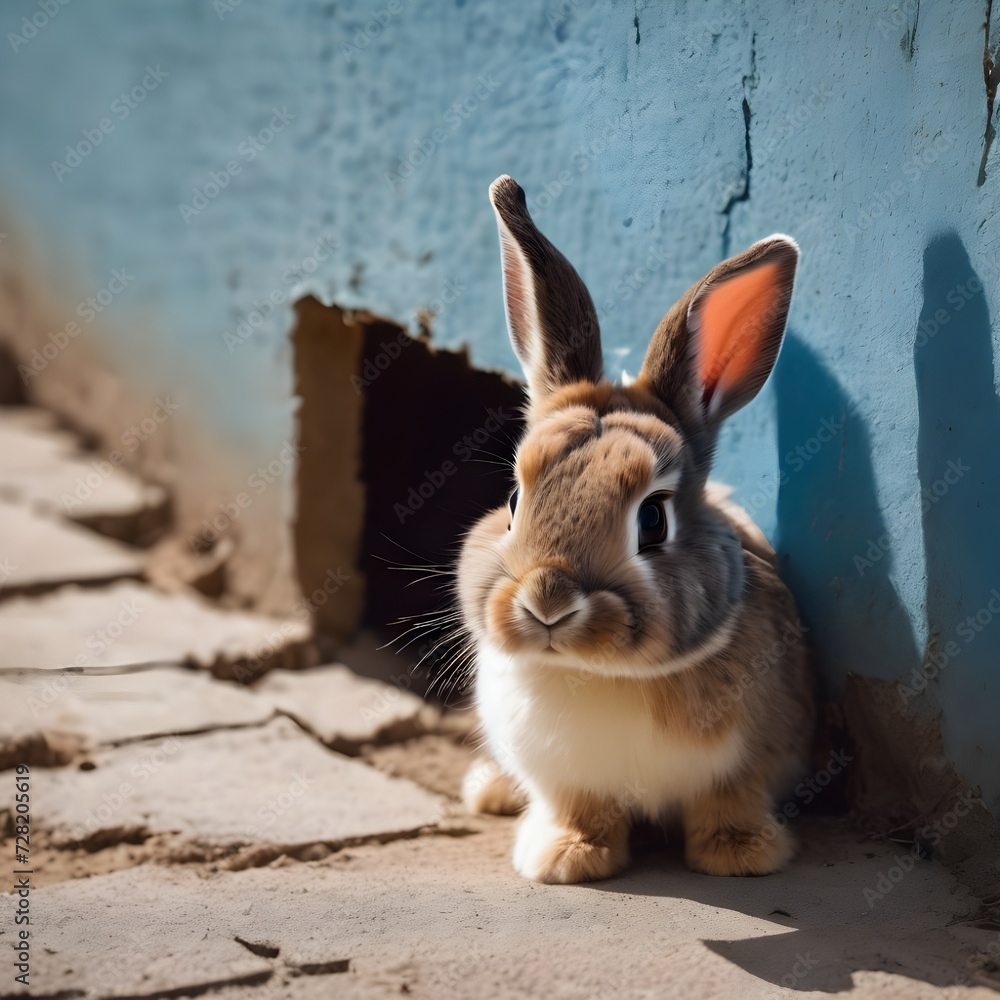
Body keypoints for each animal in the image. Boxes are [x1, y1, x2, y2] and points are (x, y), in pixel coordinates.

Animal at [457, 175, 816, 884]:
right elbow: (581, 809)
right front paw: (565, 858)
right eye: (513, 499)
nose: (547, 602)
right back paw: (488, 791)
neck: (601, 675)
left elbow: (729, 801)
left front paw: (741, 857)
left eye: (653, 518)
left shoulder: (749, 760)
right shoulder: (564, 777)